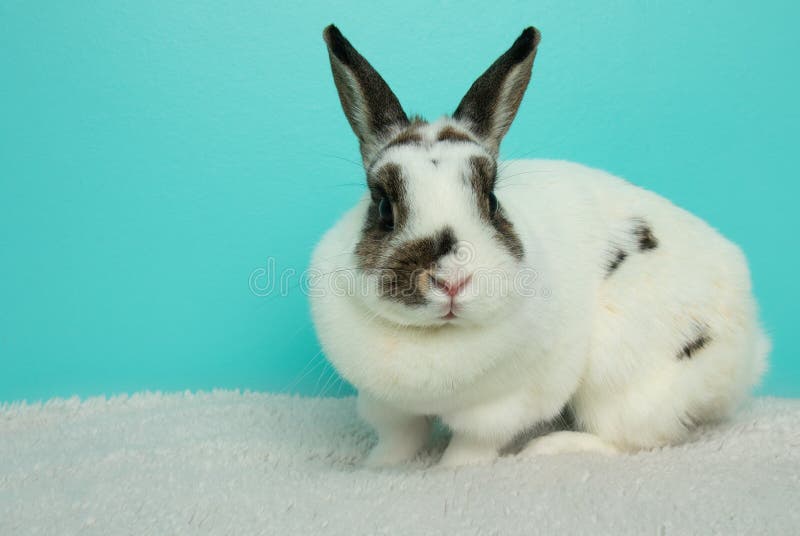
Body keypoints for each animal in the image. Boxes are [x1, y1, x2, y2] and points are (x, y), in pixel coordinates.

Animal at [309, 24, 769, 467]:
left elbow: (471, 446)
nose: (452, 281)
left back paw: (550, 447)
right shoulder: (387, 406)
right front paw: (376, 467)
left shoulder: (501, 407)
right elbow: (399, 440)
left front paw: (449, 470)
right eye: (384, 208)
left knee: (632, 439)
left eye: (492, 202)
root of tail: (749, 349)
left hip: (622, 381)